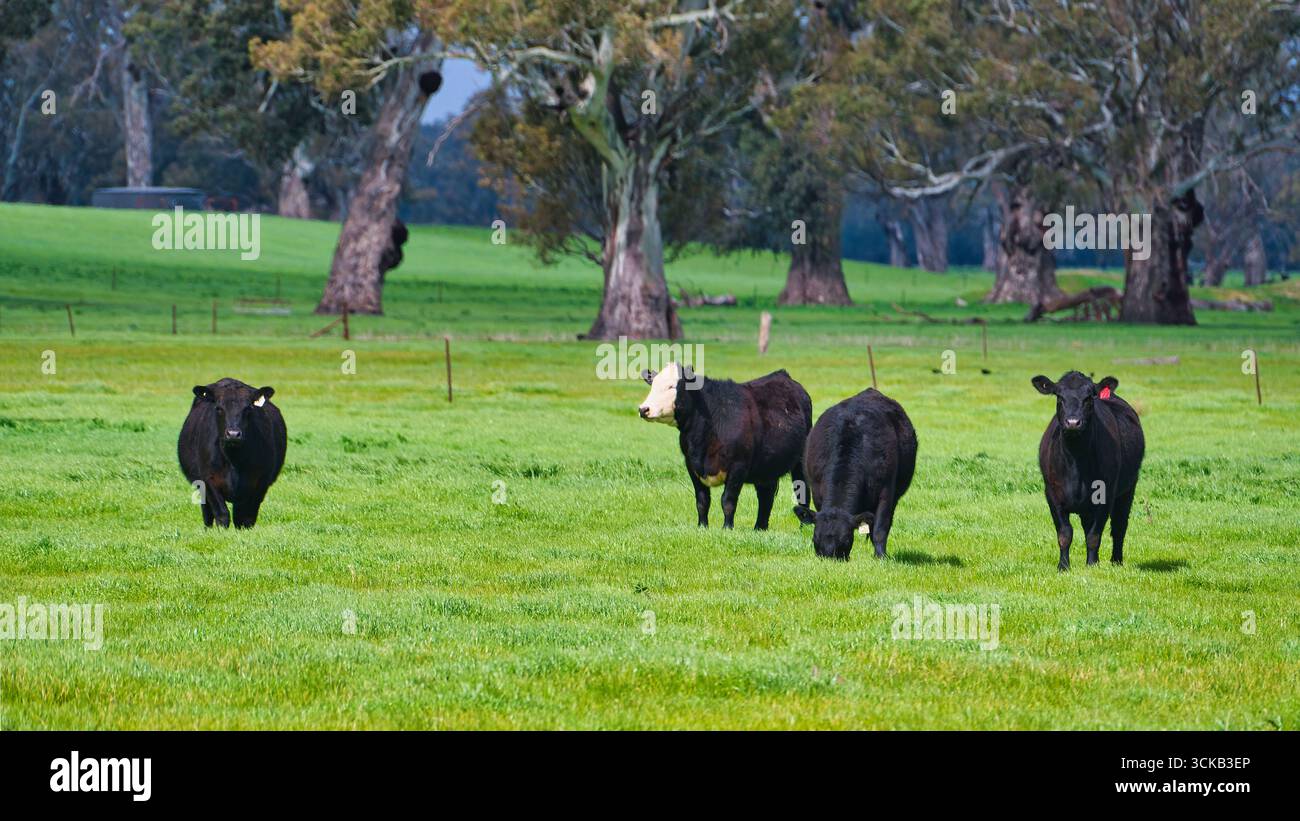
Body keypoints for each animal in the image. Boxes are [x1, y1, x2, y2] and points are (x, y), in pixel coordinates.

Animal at [178, 378, 287, 529]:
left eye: (248, 408)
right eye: (219, 408)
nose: (233, 434)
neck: (233, 460)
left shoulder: (260, 483)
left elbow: (245, 517)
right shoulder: (208, 480)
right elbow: (222, 514)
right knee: (207, 513)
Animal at [639, 362, 812, 529]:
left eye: (671, 387)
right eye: (653, 385)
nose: (643, 409)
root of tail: (783, 375)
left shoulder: (738, 466)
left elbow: (728, 500)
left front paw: (727, 527)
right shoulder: (691, 465)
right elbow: (702, 501)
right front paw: (702, 527)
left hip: (800, 462)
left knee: (802, 491)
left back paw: (804, 527)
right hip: (767, 466)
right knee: (766, 495)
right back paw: (759, 528)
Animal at [793, 388, 917, 560]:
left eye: (846, 539)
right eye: (815, 538)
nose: (829, 559)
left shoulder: (886, 491)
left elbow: (880, 529)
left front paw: (880, 556)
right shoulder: (817, 490)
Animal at [1031, 371, 1145, 570]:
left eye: (1089, 397)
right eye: (1059, 396)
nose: (1072, 422)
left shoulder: (1105, 495)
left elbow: (1094, 535)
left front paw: (1092, 564)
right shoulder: (1052, 495)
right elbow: (1065, 534)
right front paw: (1063, 566)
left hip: (1128, 488)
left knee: (1119, 526)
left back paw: (1116, 561)